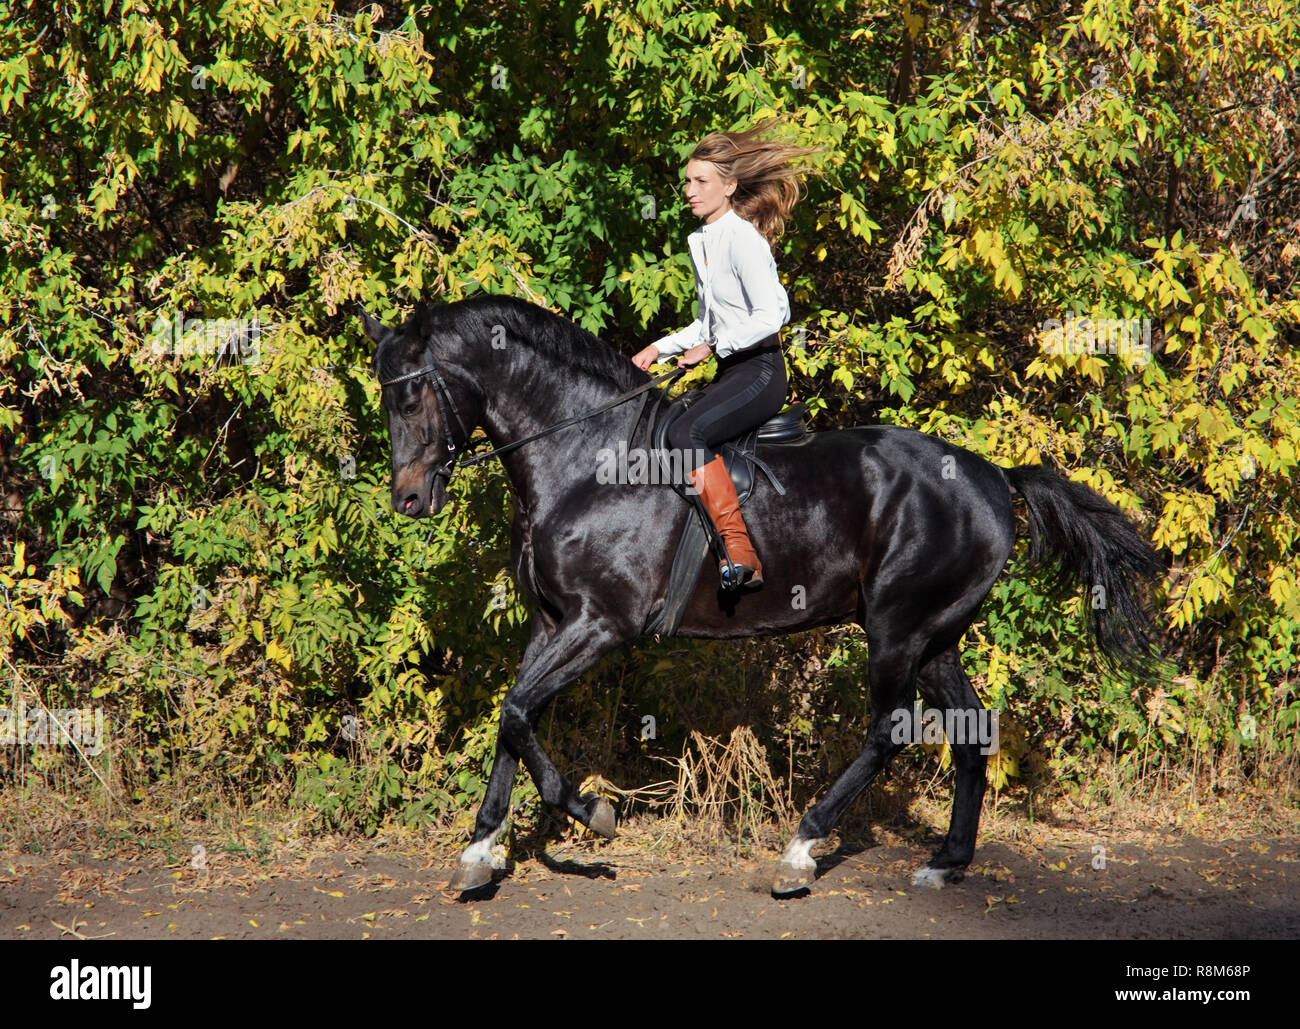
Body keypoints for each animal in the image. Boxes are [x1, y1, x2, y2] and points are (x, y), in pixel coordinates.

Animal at [363, 293, 1165, 895]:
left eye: (414, 392)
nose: (408, 500)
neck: (585, 457)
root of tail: (993, 474)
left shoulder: (600, 625)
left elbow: (518, 713)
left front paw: (592, 813)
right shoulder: (551, 622)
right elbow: (515, 714)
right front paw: (482, 849)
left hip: (897, 628)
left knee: (888, 731)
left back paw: (802, 849)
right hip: (936, 636)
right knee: (970, 733)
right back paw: (945, 862)